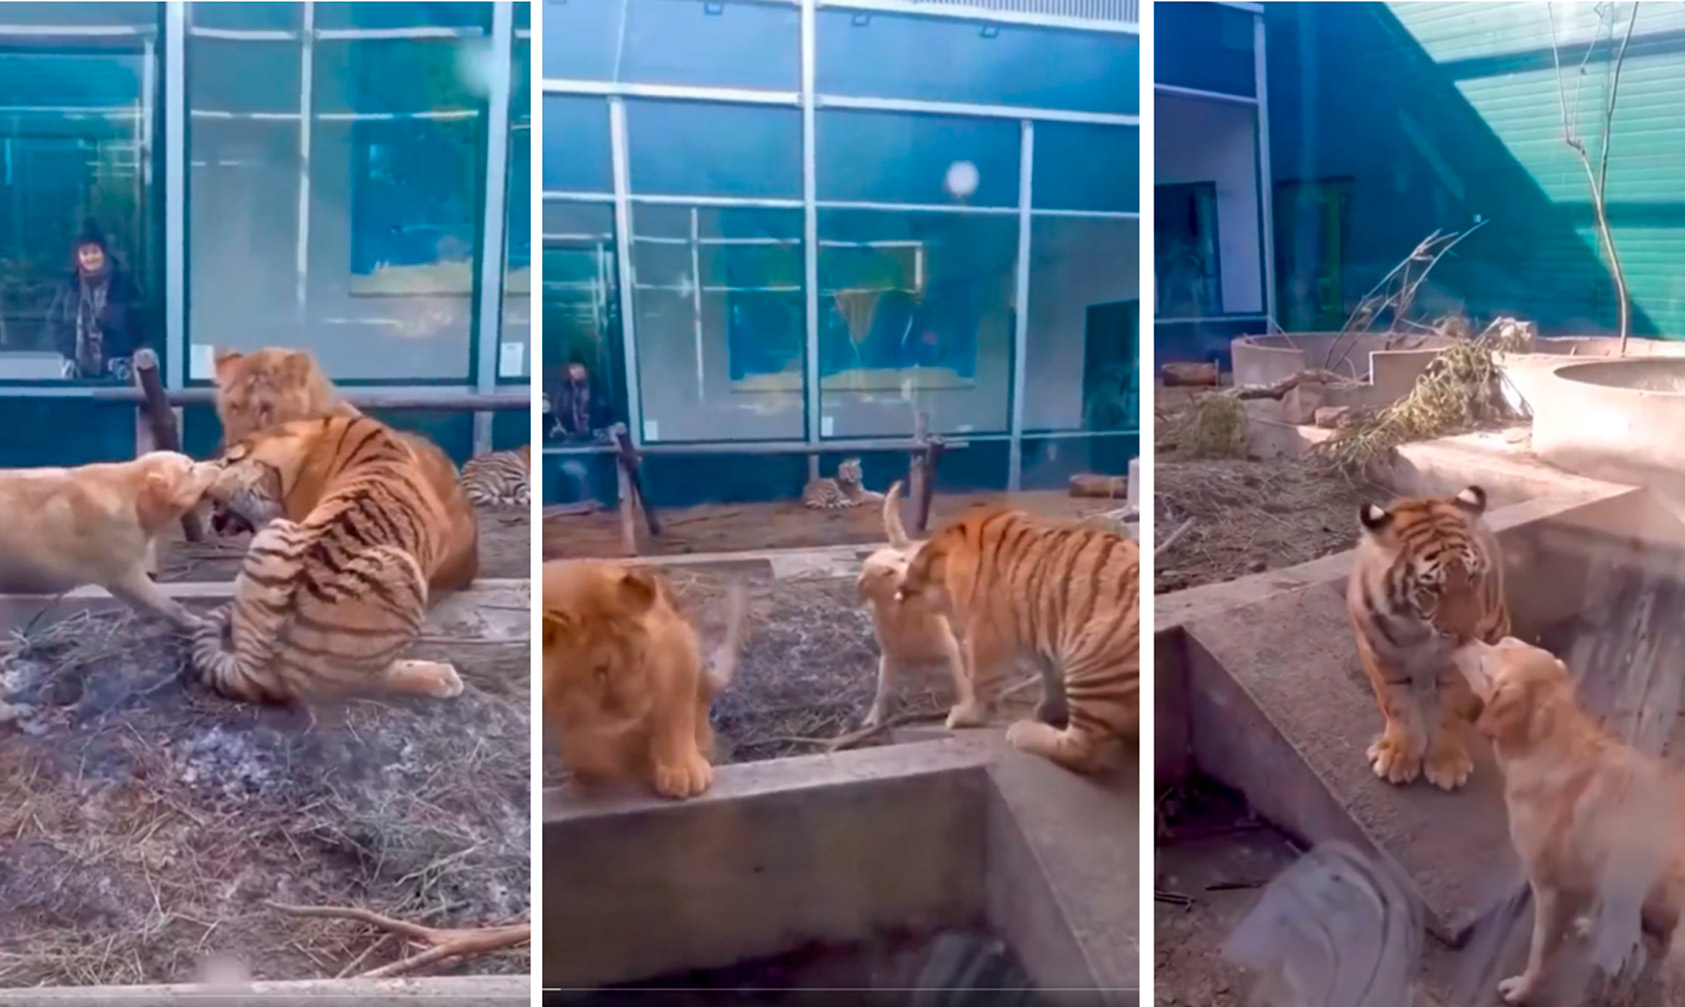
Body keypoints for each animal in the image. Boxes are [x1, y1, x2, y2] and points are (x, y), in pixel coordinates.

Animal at [189, 415, 468, 704]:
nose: (206, 492)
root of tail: (255, 669)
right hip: (398, 565)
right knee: (372, 678)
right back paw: (440, 676)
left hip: (276, 533)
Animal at [542, 559, 748, 800]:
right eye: (600, 670)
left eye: (641, 657)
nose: (636, 711)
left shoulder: (675, 642)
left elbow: (674, 715)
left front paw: (683, 771)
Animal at [895, 507, 1139, 773]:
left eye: (914, 565)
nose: (900, 591)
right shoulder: (1048, 633)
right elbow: (1051, 675)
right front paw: (1050, 709)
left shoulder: (985, 633)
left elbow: (979, 681)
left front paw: (966, 715)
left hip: (1090, 658)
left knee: (1081, 749)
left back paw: (1021, 732)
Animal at [1348, 485, 1509, 791]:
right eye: (1432, 588)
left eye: (1471, 577)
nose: (1467, 631)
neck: (1416, 631)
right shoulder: (1381, 657)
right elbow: (1397, 705)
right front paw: (1398, 755)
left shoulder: (1455, 665)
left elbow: (1449, 711)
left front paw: (1446, 762)